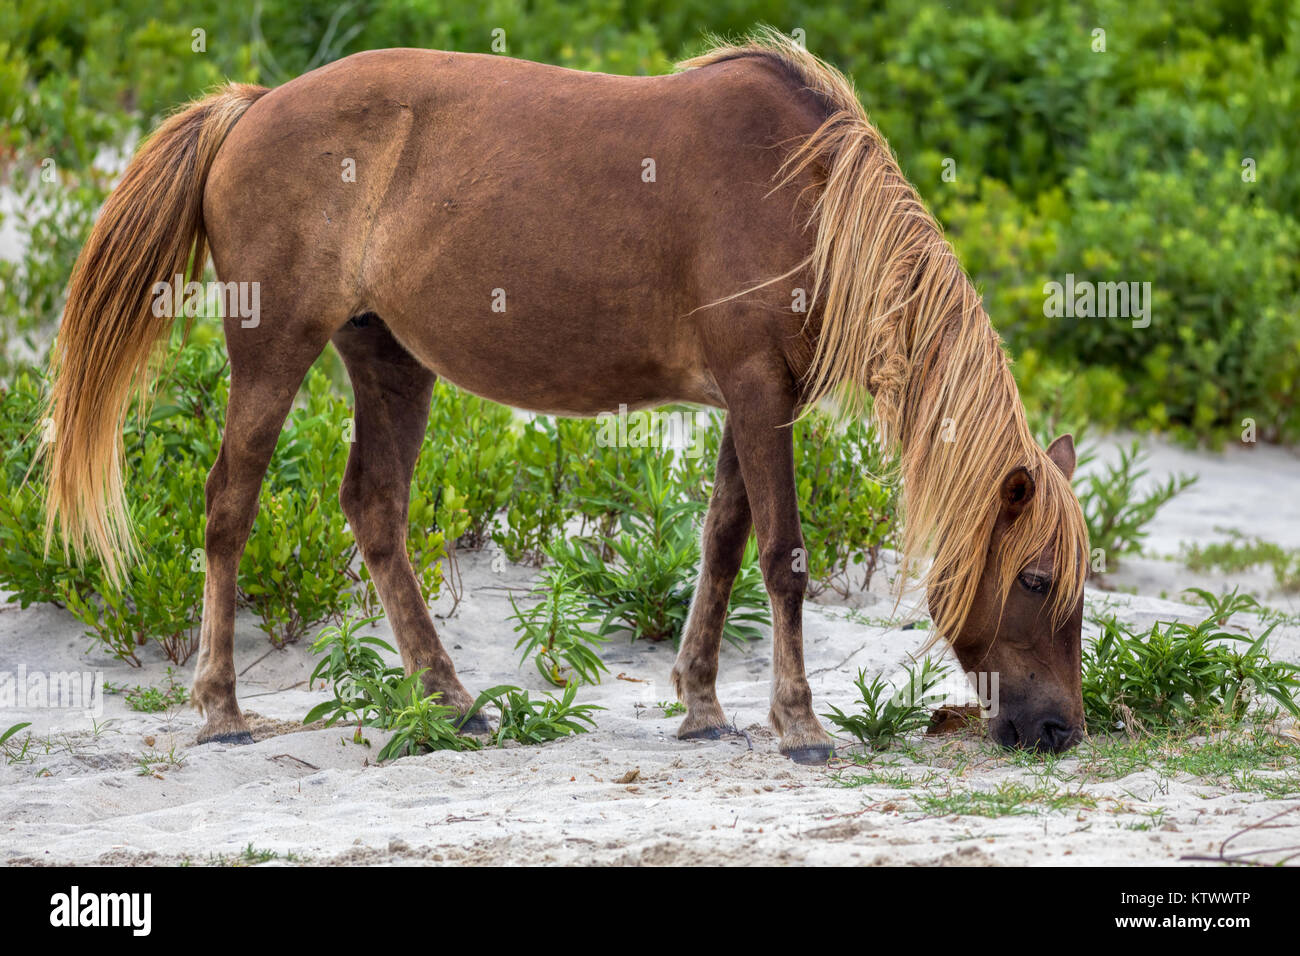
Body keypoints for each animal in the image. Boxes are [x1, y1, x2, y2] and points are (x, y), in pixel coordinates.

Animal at [42, 31, 1089, 764]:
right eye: (1036, 580)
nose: (1061, 732)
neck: (812, 200)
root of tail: (252, 108)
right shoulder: (759, 393)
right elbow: (783, 557)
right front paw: (798, 725)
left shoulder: (753, 400)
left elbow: (722, 543)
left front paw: (702, 706)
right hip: (272, 354)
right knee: (230, 505)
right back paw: (221, 711)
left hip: (389, 359)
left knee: (374, 507)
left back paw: (451, 700)